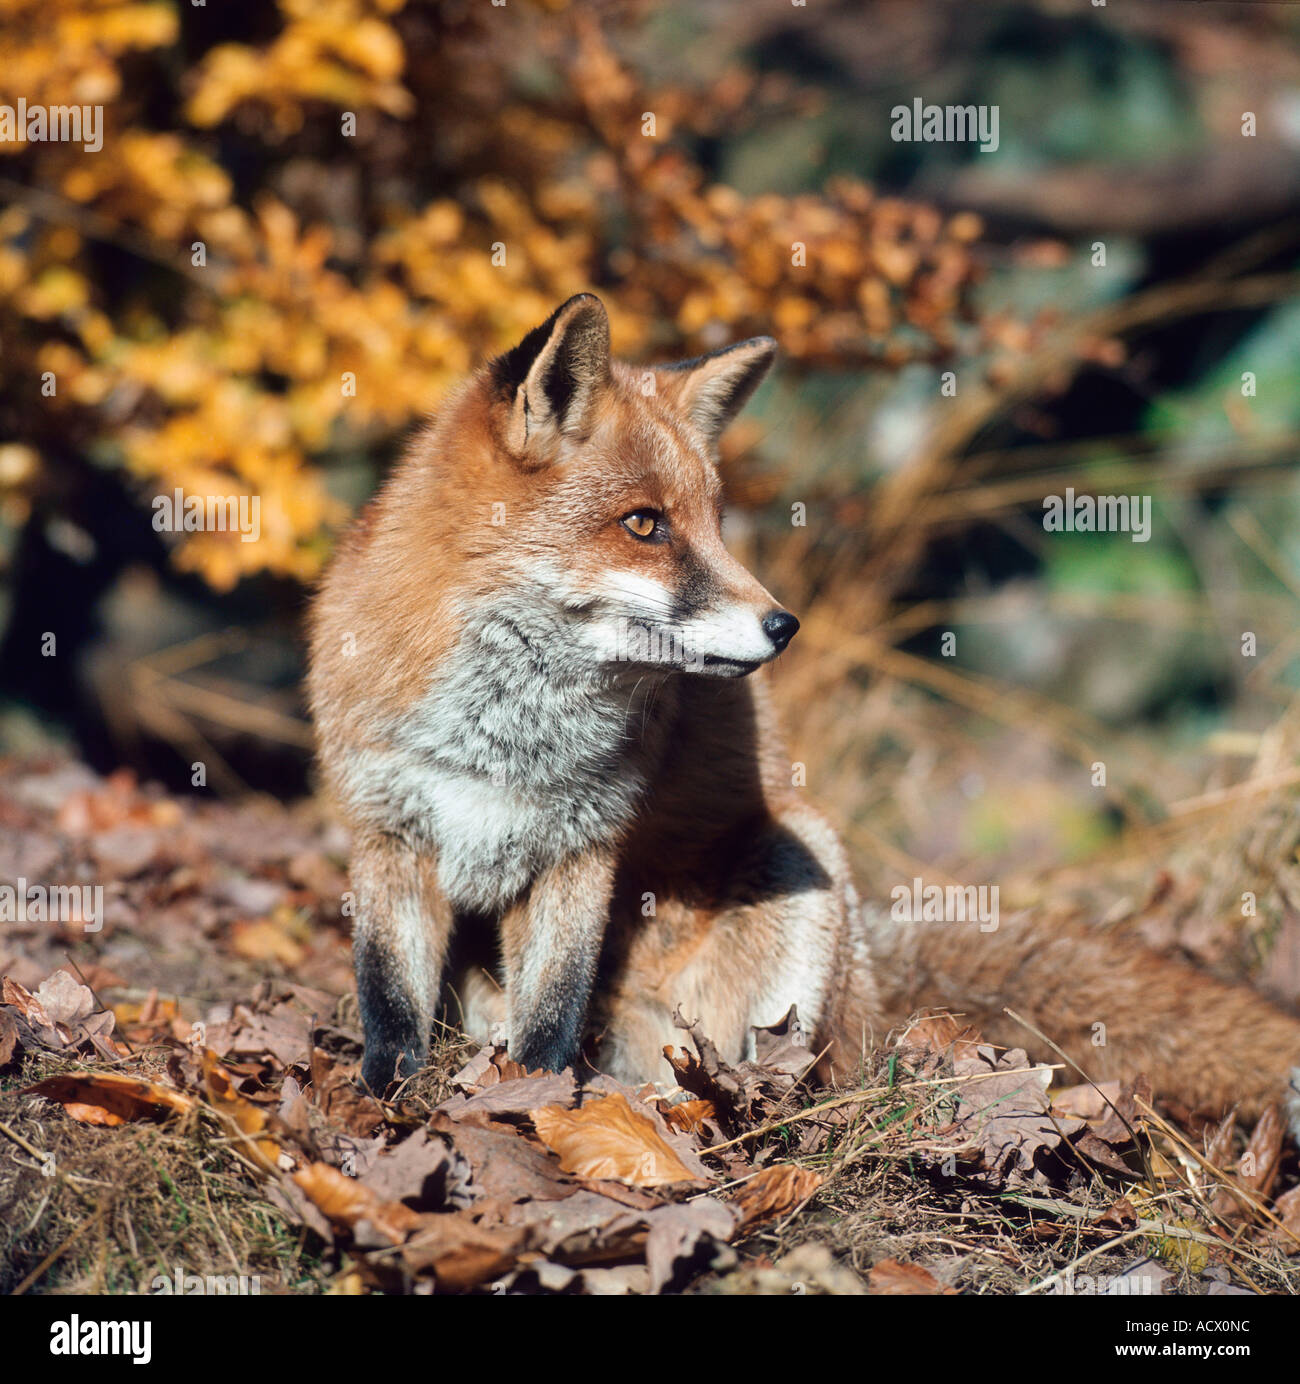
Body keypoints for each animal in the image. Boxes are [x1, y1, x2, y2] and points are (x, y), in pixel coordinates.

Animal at [309, 292, 1300, 1134]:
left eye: (716, 521)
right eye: (644, 524)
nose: (784, 626)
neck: (503, 735)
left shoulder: (580, 846)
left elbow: (551, 1011)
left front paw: (538, 1100)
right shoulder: (388, 831)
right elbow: (389, 998)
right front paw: (383, 1096)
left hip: (801, 860)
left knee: (760, 1066)